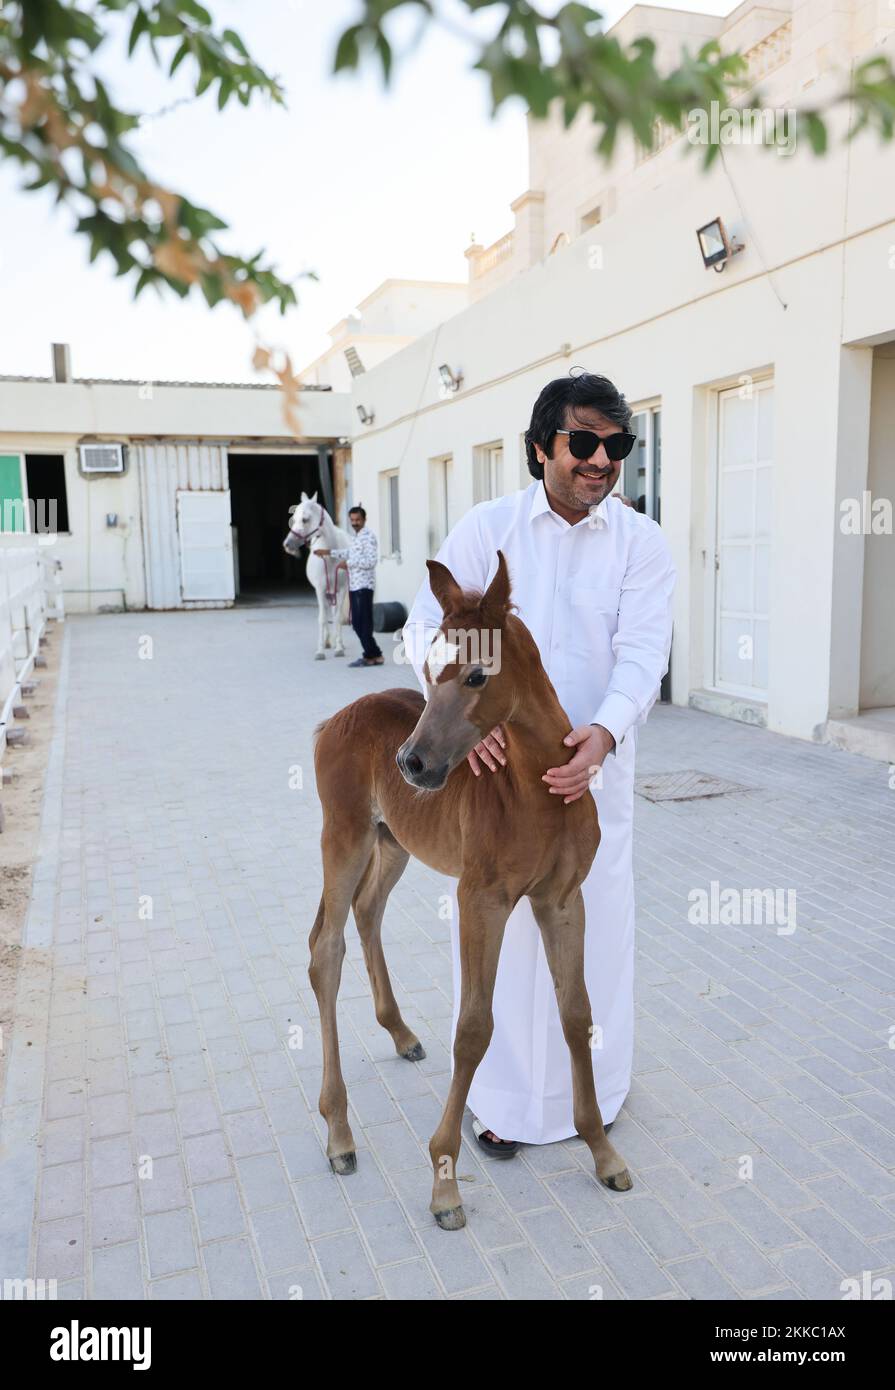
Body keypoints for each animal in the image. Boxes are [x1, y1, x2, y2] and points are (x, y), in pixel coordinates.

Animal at [282, 492, 351, 659]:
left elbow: (337, 617)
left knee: (332, 612)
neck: (331, 555)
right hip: (324, 592)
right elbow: (322, 619)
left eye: (305, 519)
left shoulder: (341, 589)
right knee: (325, 612)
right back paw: (326, 642)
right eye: (293, 519)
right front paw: (320, 651)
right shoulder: (320, 589)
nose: (287, 545)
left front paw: (339, 648)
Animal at [309, 549, 632, 1231]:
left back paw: (400, 1034)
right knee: (325, 948)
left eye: (479, 674)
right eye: (431, 670)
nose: (412, 763)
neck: (536, 789)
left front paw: (601, 1149)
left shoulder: (562, 900)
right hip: (344, 837)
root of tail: (336, 719)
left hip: (394, 842)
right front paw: (444, 1182)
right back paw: (339, 1133)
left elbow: (576, 1014)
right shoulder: (482, 900)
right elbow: (475, 1029)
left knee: (366, 913)